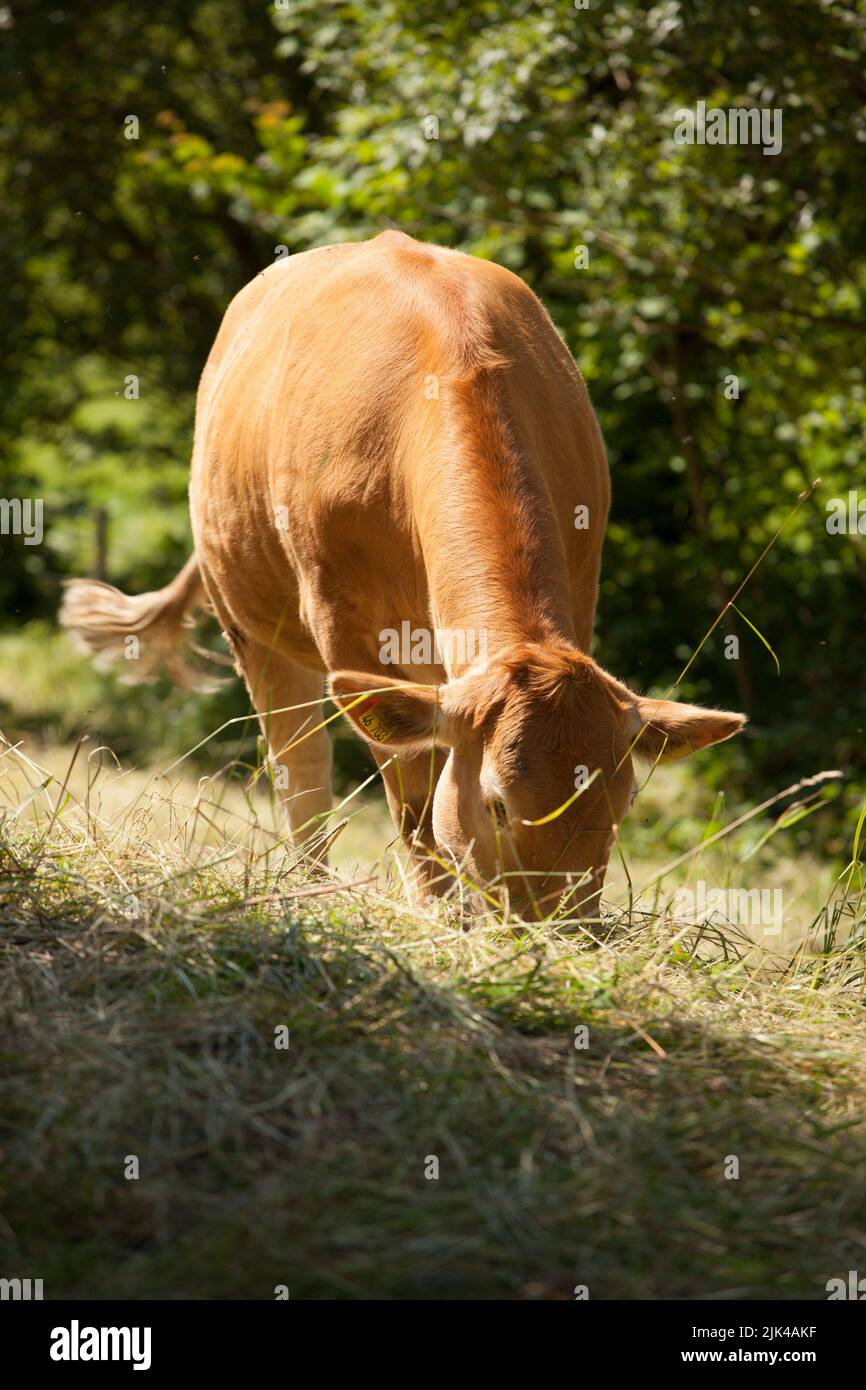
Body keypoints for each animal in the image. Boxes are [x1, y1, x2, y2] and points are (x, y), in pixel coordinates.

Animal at [60, 230, 745, 919]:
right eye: (497, 805)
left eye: (622, 803)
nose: (562, 933)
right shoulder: (349, 635)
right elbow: (414, 807)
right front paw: (438, 914)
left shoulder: (579, 595)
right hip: (254, 630)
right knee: (300, 771)